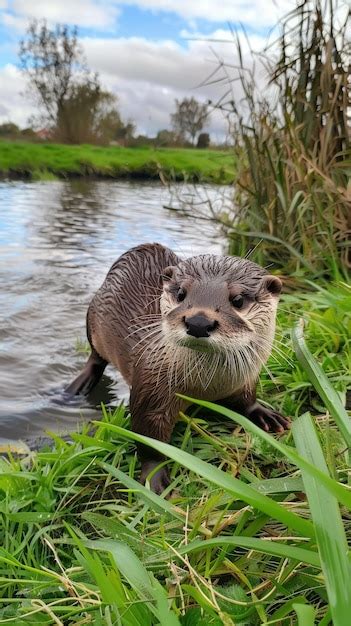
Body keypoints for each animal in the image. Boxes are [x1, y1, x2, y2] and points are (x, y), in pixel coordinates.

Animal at [67, 244, 290, 492]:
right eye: (181, 293)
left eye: (238, 299)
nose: (199, 322)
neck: (207, 387)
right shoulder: (151, 388)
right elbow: (148, 438)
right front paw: (154, 477)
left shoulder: (246, 379)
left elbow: (247, 399)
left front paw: (264, 413)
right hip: (93, 316)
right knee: (95, 357)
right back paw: (81, 384)